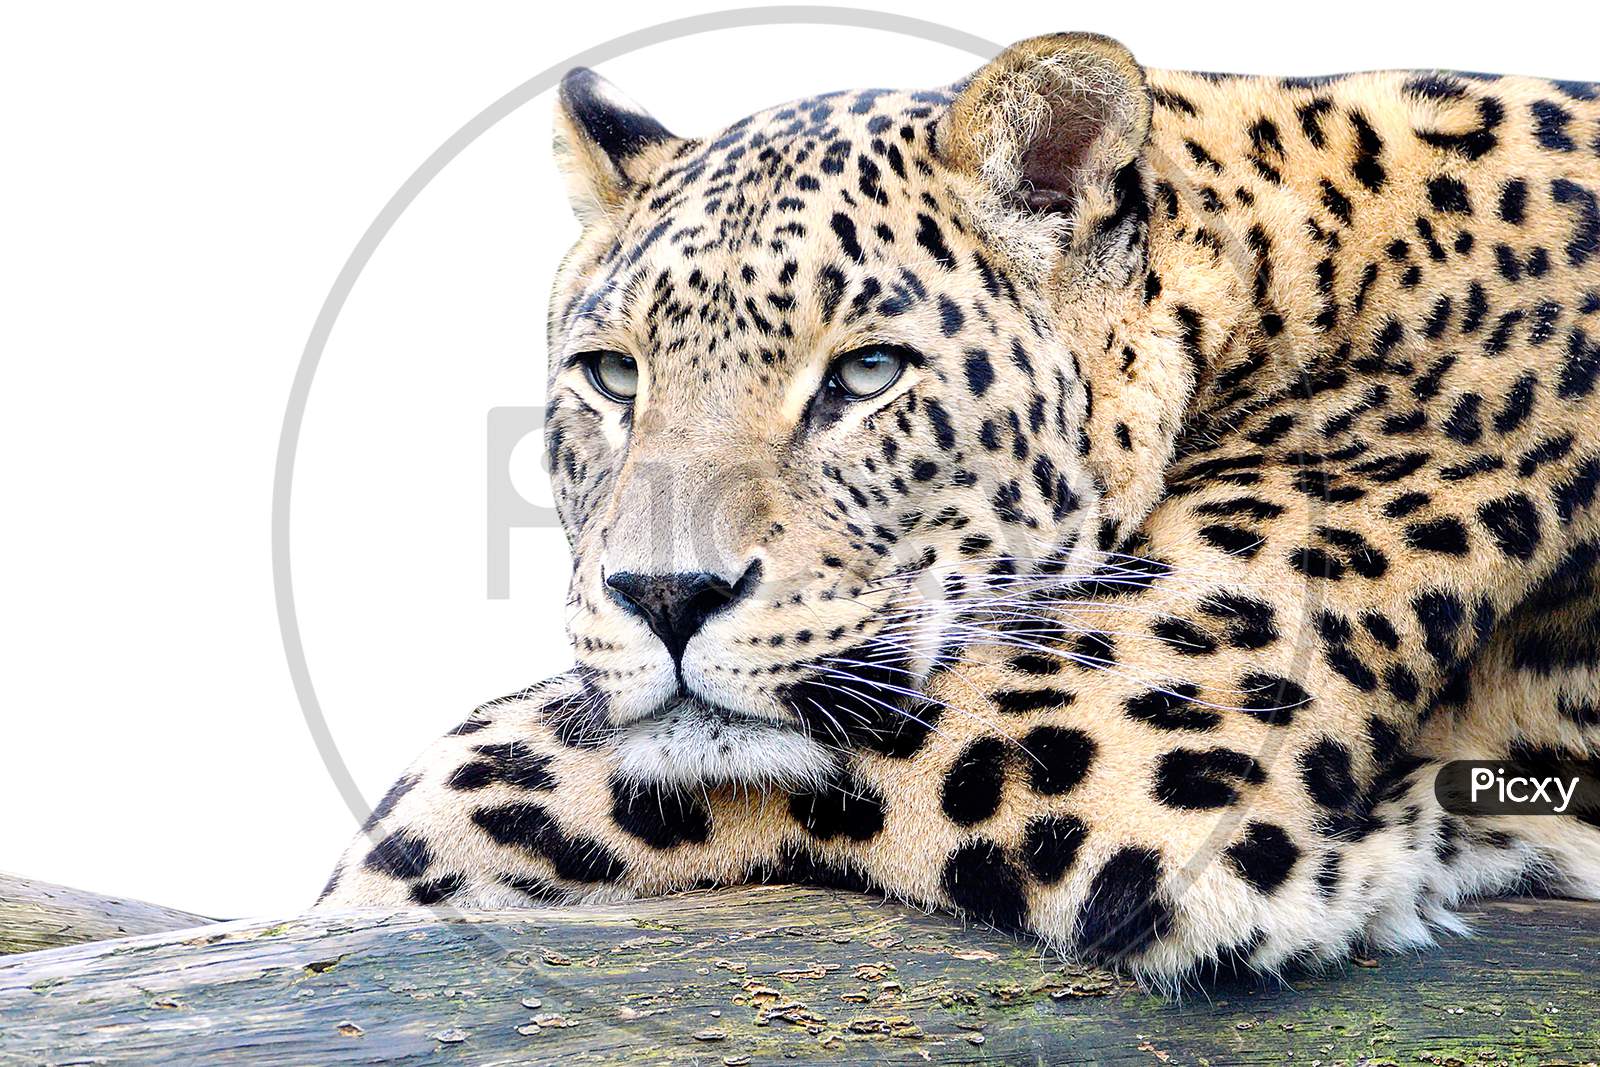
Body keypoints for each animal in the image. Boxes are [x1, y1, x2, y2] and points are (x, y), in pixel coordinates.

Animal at [317, 32, 1600, 988]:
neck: (1281, 278)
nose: (664, 595)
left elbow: (464, 787)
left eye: (867, 373)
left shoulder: (1120, 756)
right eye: (611, 375)